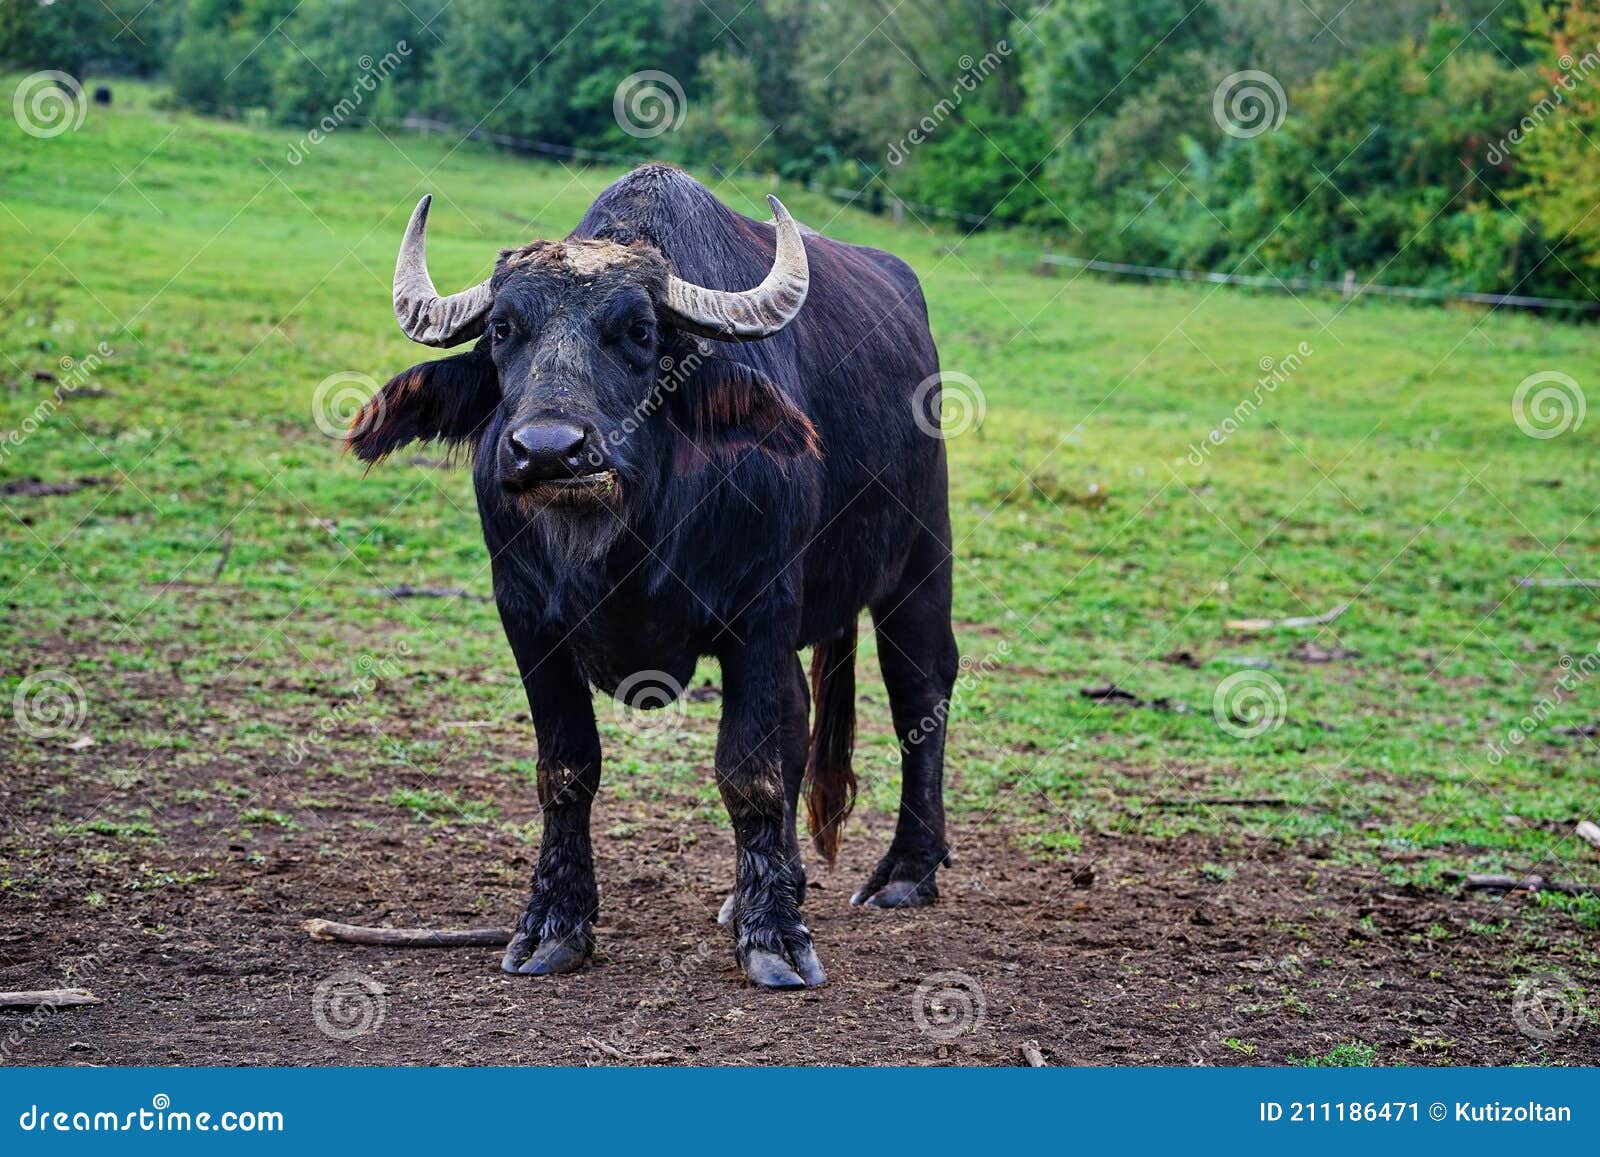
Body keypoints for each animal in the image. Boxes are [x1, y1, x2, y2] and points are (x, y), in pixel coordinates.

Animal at [347, 164, 957, 989]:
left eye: (639, 330)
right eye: (503, 330)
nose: (548, 450)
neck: (624, 534)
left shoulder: (760, 613)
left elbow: (750, 767)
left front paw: (774, 937)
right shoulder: (526, 618)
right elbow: (566, 765)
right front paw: (553, 925)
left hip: (921, 561)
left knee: (920, 692)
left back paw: (904, 872)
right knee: (805, 721)